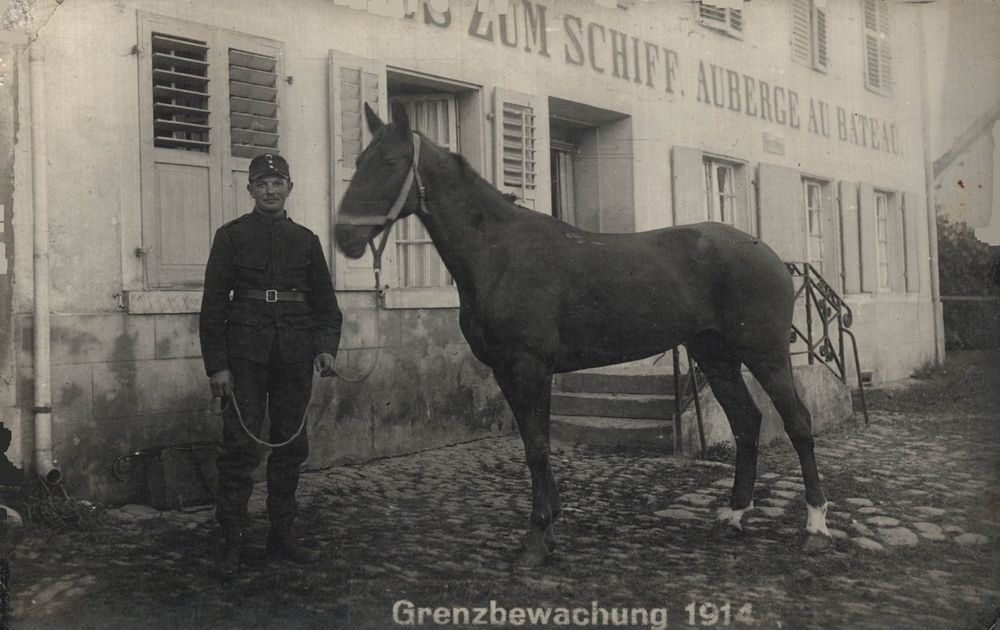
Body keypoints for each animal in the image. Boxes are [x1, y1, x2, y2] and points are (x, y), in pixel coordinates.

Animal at [334, 101, 831, 566]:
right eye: (358, 160)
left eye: (391, 162)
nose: (343, 237)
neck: (500, 254)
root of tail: (768, 253)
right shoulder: (507, 370)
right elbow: (533, 444)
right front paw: (549, 524)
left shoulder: (530, 367)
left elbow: (537, 447)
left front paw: (537, 540)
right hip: (715, 355)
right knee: (746, 421)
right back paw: (735, 514)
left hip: (764, 353)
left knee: (798, 423)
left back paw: (814, 527)